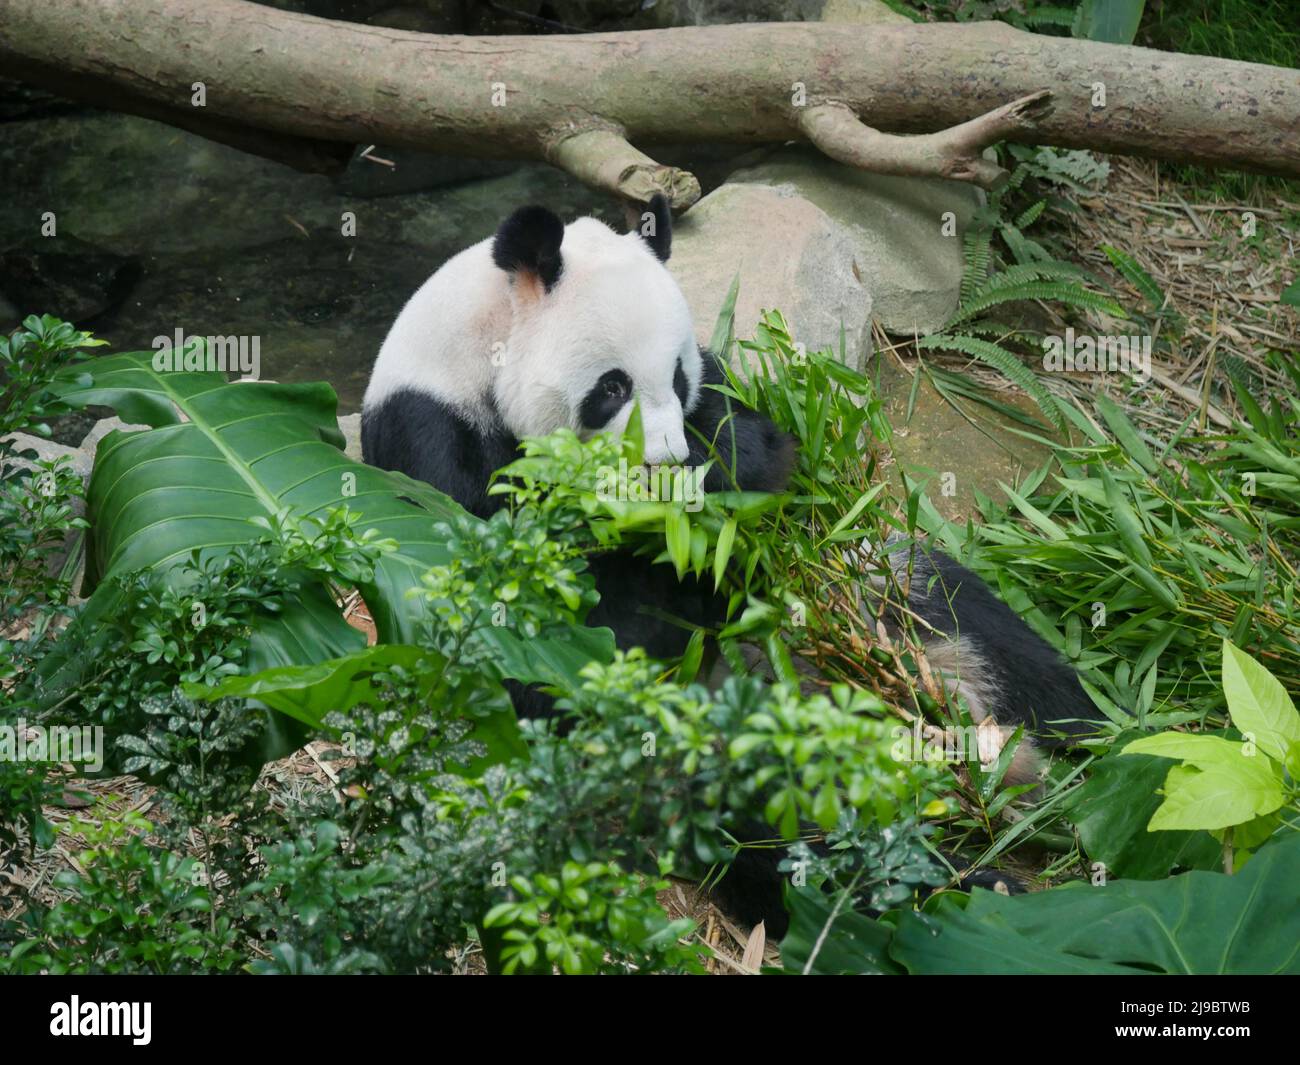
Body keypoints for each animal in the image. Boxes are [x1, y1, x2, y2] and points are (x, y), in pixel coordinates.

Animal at [361, 194, 1107, 930]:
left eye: (676, 374)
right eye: (611, 388)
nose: (662, 460)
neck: (479, 343)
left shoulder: (721, 391)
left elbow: (762, 449)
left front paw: (703, 481)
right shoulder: (430, 443)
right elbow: (547, 625)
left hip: (885, 586)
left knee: (1002, 643)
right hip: (702, 749)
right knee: (784, 848)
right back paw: (961, 883)